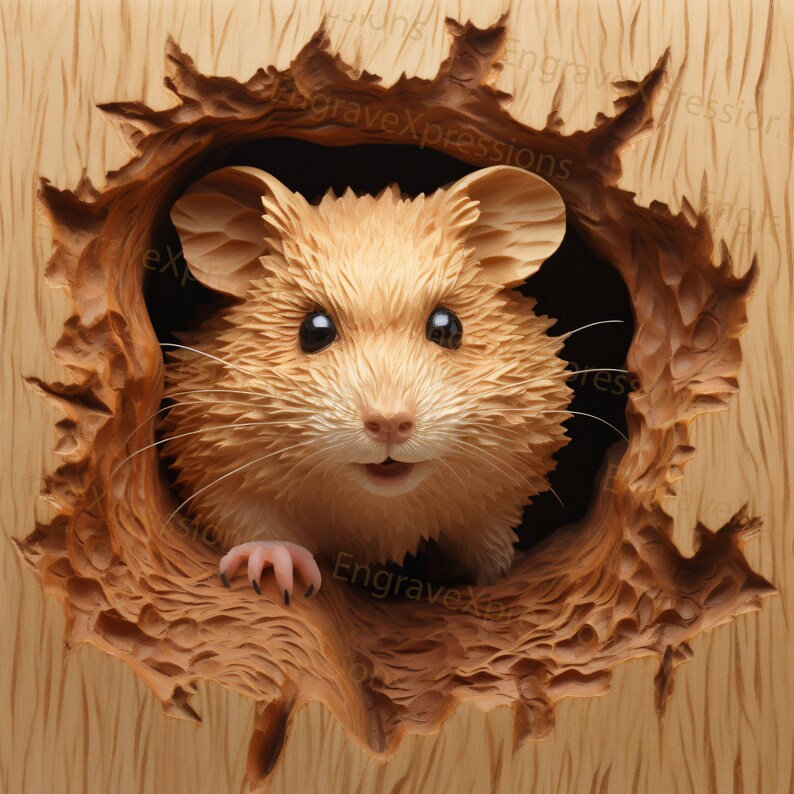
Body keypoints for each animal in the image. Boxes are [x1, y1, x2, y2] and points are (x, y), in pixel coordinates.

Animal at [162, 164, 572, 602]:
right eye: (314, 331)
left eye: (448, 327)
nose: (389, 424)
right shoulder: (214, 459)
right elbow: (247, 519)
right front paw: (273, 564)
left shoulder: (495, 498)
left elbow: (489, 539)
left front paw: (504, 570)